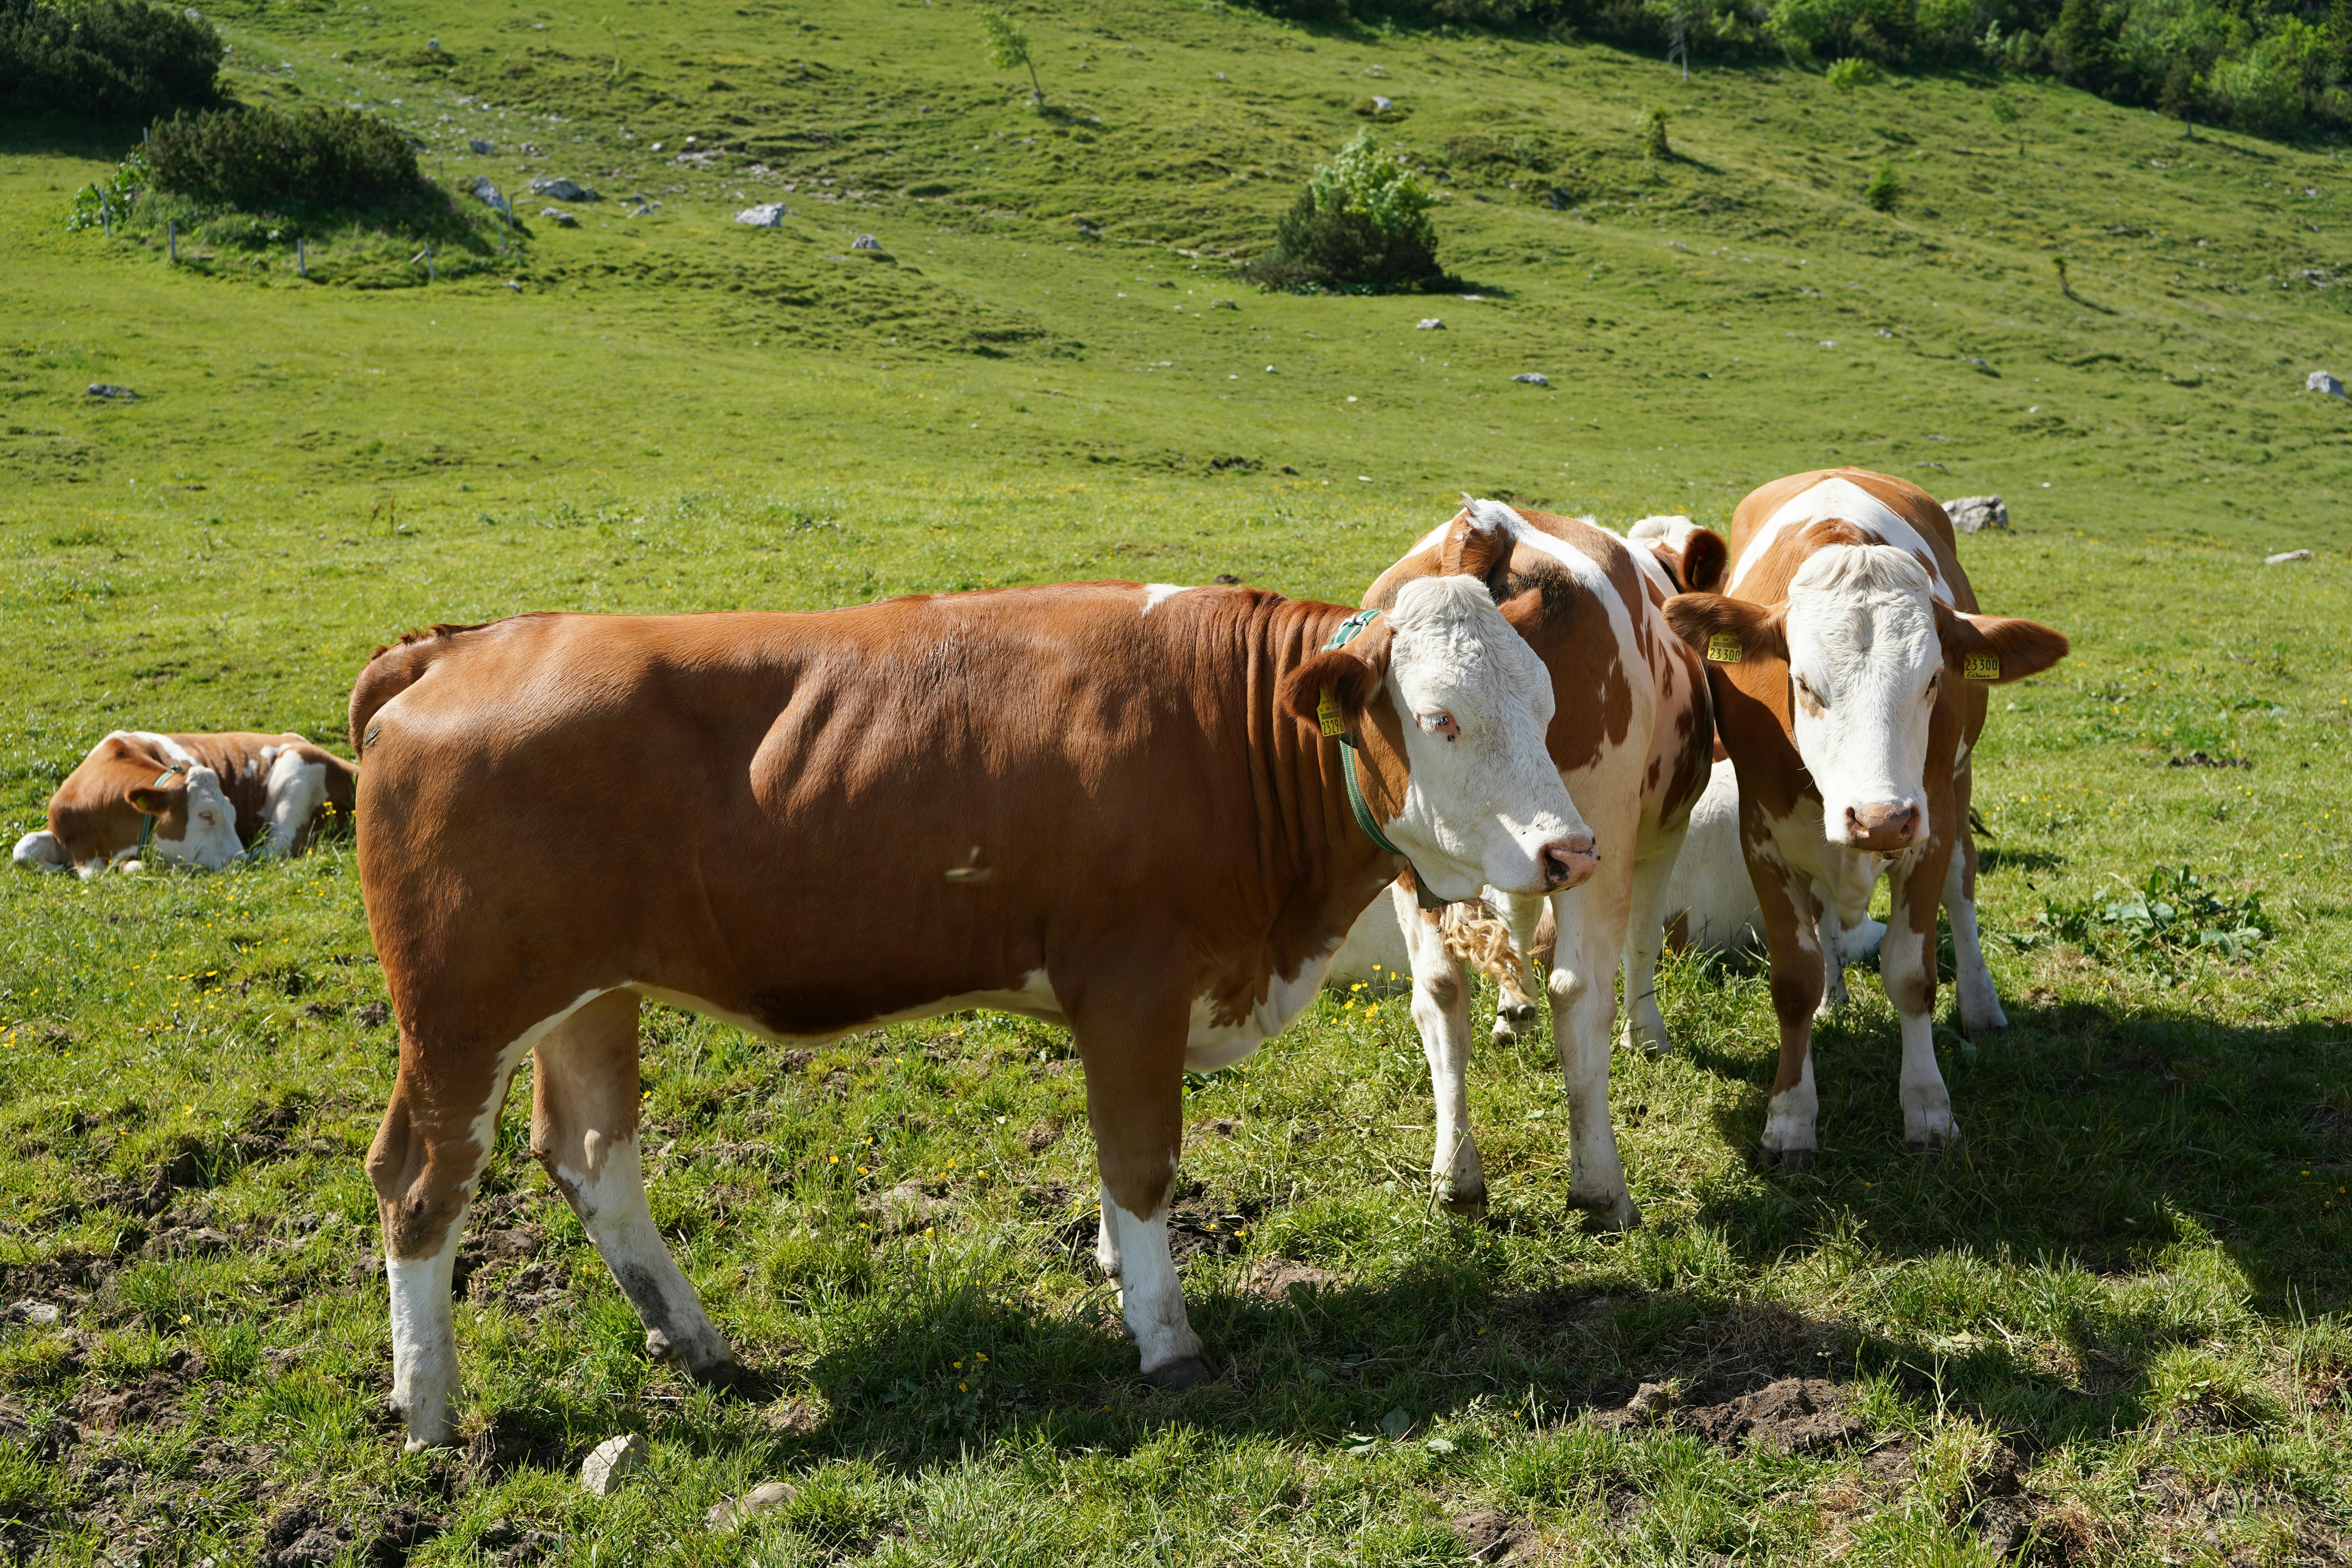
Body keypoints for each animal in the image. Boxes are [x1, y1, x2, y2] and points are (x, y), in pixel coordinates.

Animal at [12, 730, 357, 877]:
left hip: (296, 780)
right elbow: (23, 849)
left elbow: (133, 867)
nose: (238, 861)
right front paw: (57, 869)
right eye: (206, 815)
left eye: (232, 815)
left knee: (277, 847)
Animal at [347, 566, 1596, 1450]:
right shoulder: (1131, 984)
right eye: (1439, 718)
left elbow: (1115, 1165)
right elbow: (1143, 1161)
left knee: (594, 1155)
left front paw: (1116, 1271)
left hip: (588, 994)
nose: (1570, 850)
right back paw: (430, 1412)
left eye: (1543, 705)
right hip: (462, 1015)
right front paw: (1166, 1339)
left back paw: (697, 1342)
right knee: (419, 1183)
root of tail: (458, 645)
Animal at [1324, 499, 1720, 1227]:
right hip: (1599, 841)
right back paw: (1602, 1188)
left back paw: (1456, 1179)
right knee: (1580, 992)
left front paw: (1513, 1007)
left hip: (1411, 845)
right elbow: (1643, 938)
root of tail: (1486, 527)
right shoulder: (1660, 834)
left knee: (1441, 993)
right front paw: (1647, 1033)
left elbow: (1513, 911)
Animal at [1661, 468, 2069, 1166]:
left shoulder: (1928, 830)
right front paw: (1791, 1118)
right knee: (1826, 917)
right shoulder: (1763, 838)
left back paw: (1982, 1005)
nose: (1879, 819)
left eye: (1933, 679)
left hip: (1955, 789)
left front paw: (1929, 1110)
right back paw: (1835, 994)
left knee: (1963, 887)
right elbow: (1793, 981)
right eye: (1803, 683)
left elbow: (1911, 973)